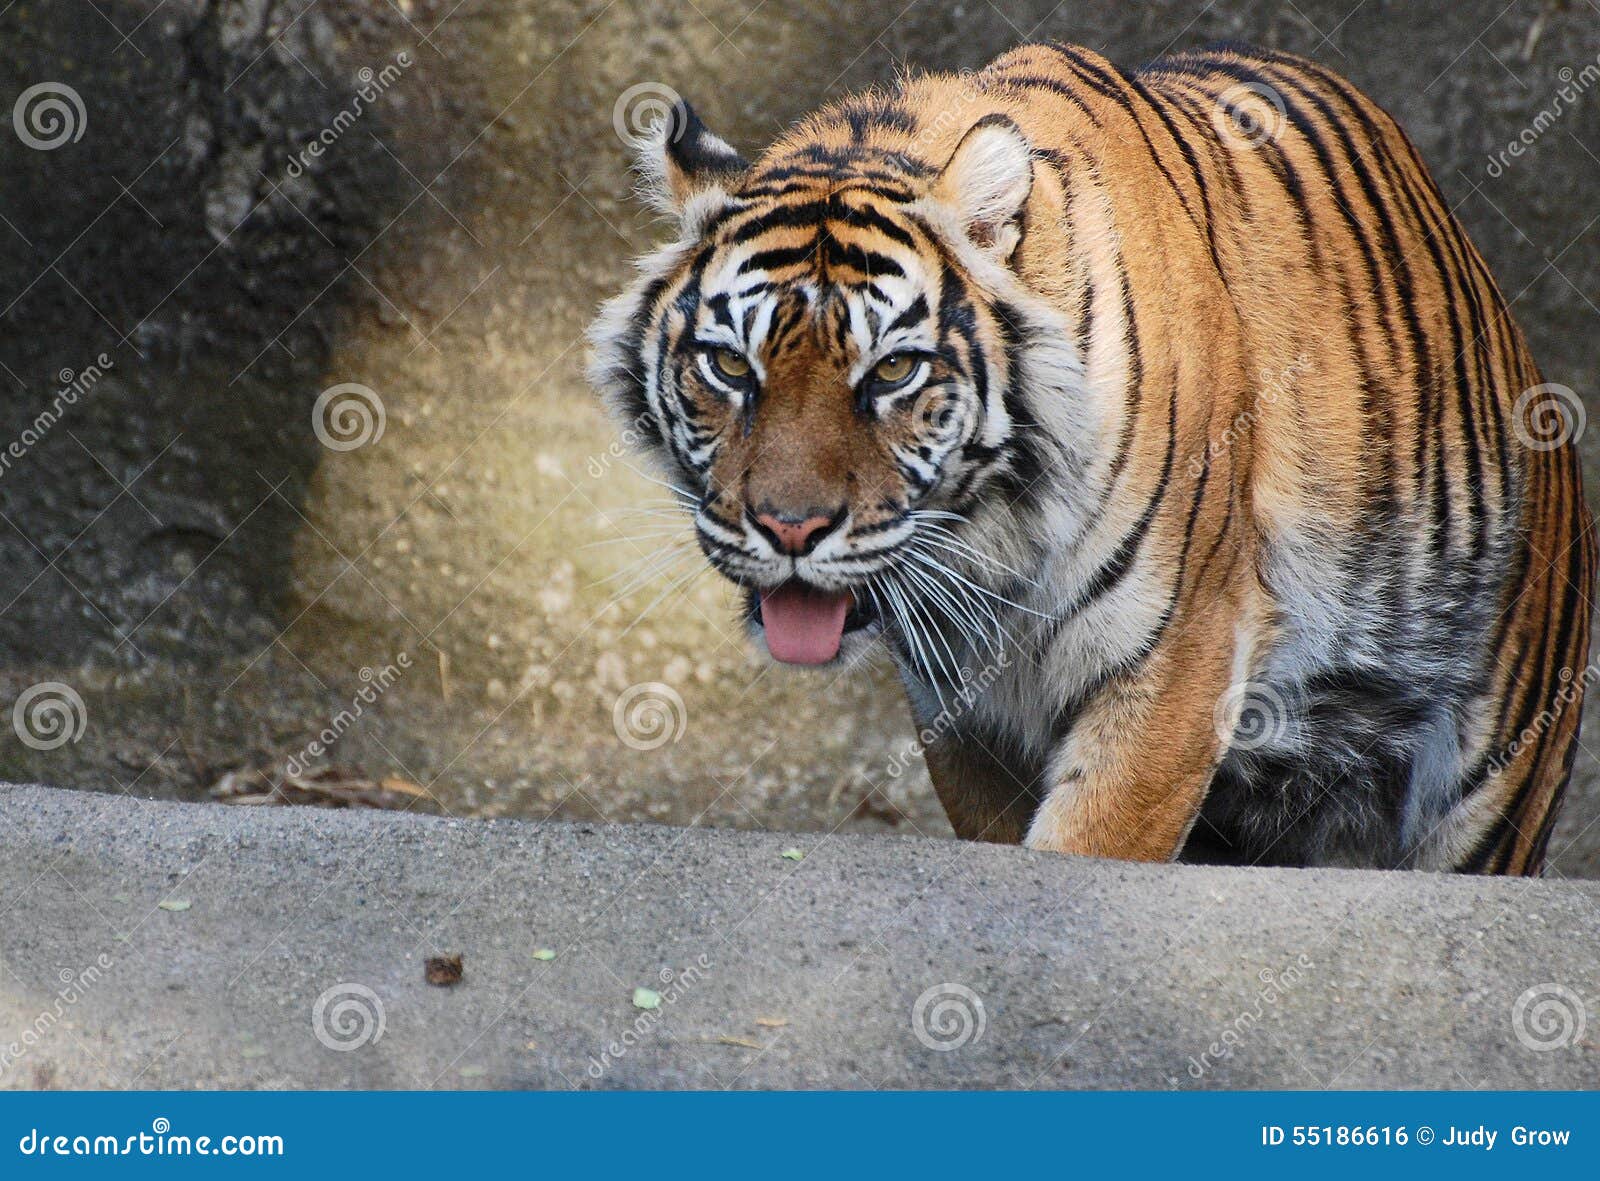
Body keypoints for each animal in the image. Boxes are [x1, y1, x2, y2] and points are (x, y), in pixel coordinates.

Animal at [587, 41, 1595, 875]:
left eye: (894, 371)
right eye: (729, 365)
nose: (788, 528)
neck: (991, 544)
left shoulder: (1180, 650)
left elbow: (1091, 848)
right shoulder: (966, 710)